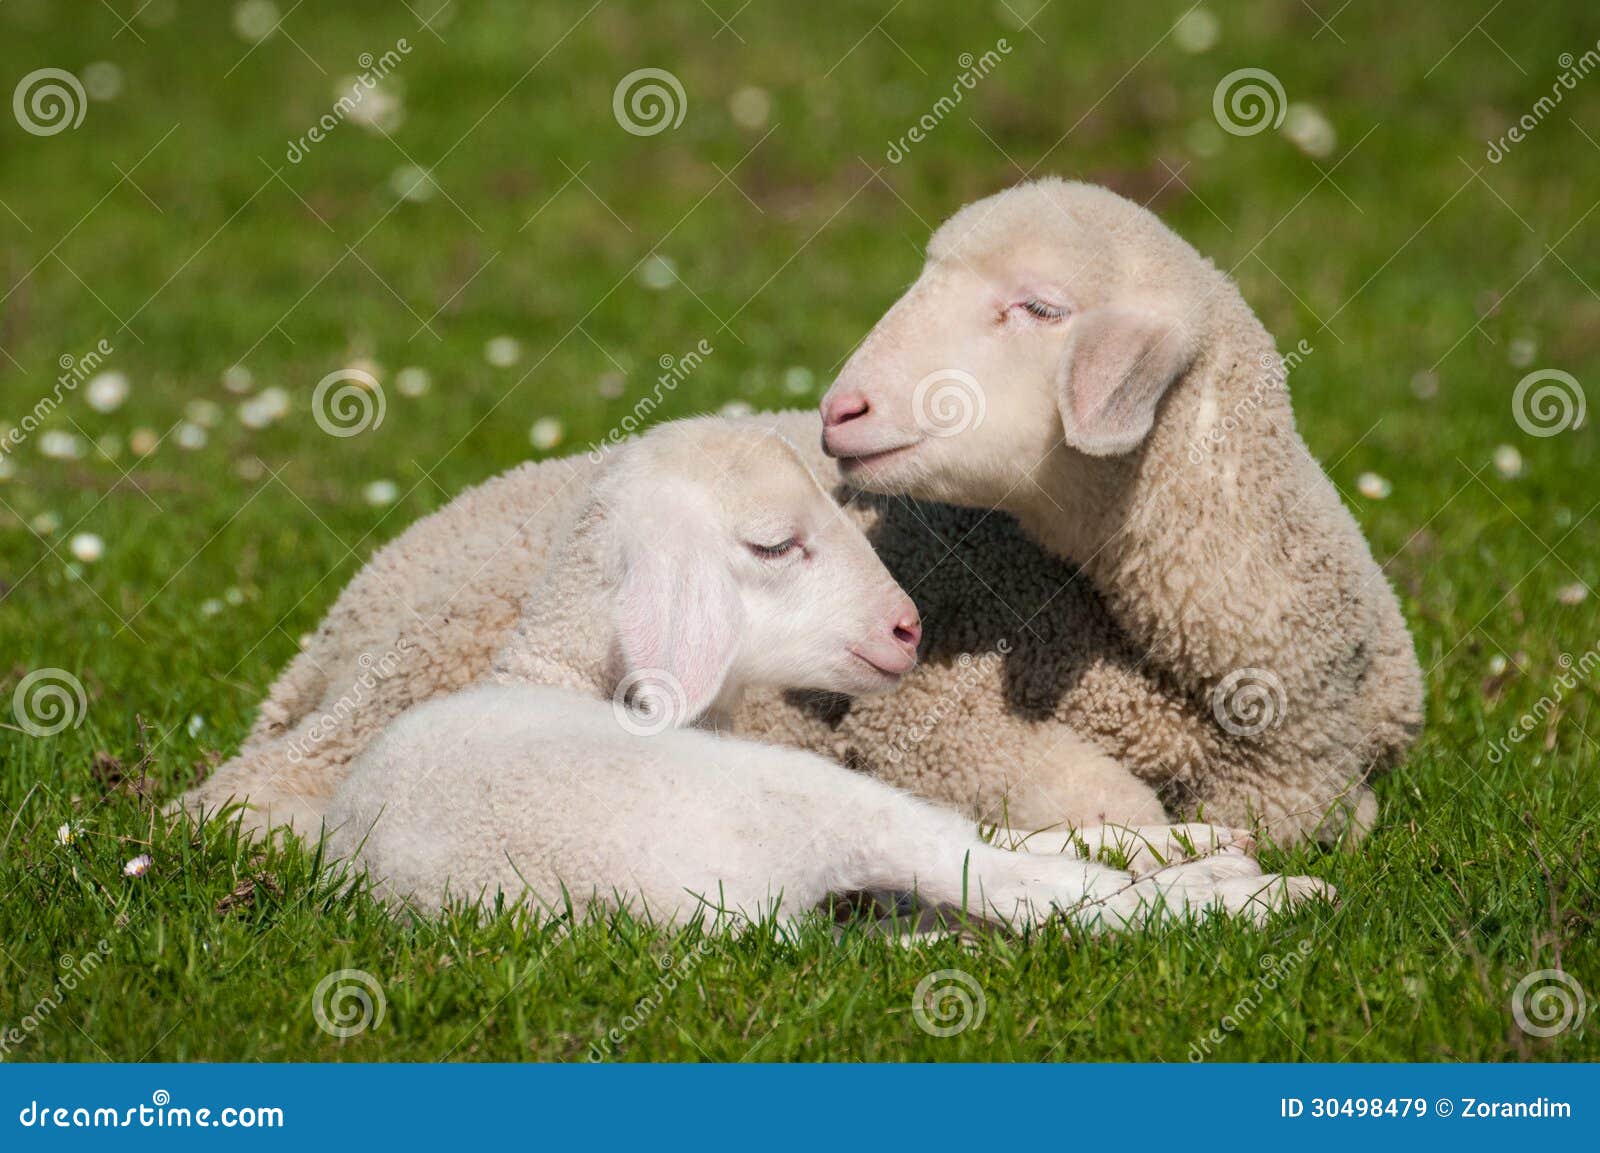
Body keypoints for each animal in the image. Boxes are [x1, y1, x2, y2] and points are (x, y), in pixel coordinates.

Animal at [181, 178, 1417, 851]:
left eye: (1037, 307)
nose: (841, 408)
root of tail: (343, 611)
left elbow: (1339, 819)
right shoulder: (932, 715)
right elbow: (1109, 808)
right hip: (429, 650)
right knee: (236, 799)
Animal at [323, 418, 1326, 928]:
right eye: (773, 544)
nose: (907, 628)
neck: (555, 668)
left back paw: (1191, 847)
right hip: (791, 796)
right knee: (1001, 874)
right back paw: (1240, 893)